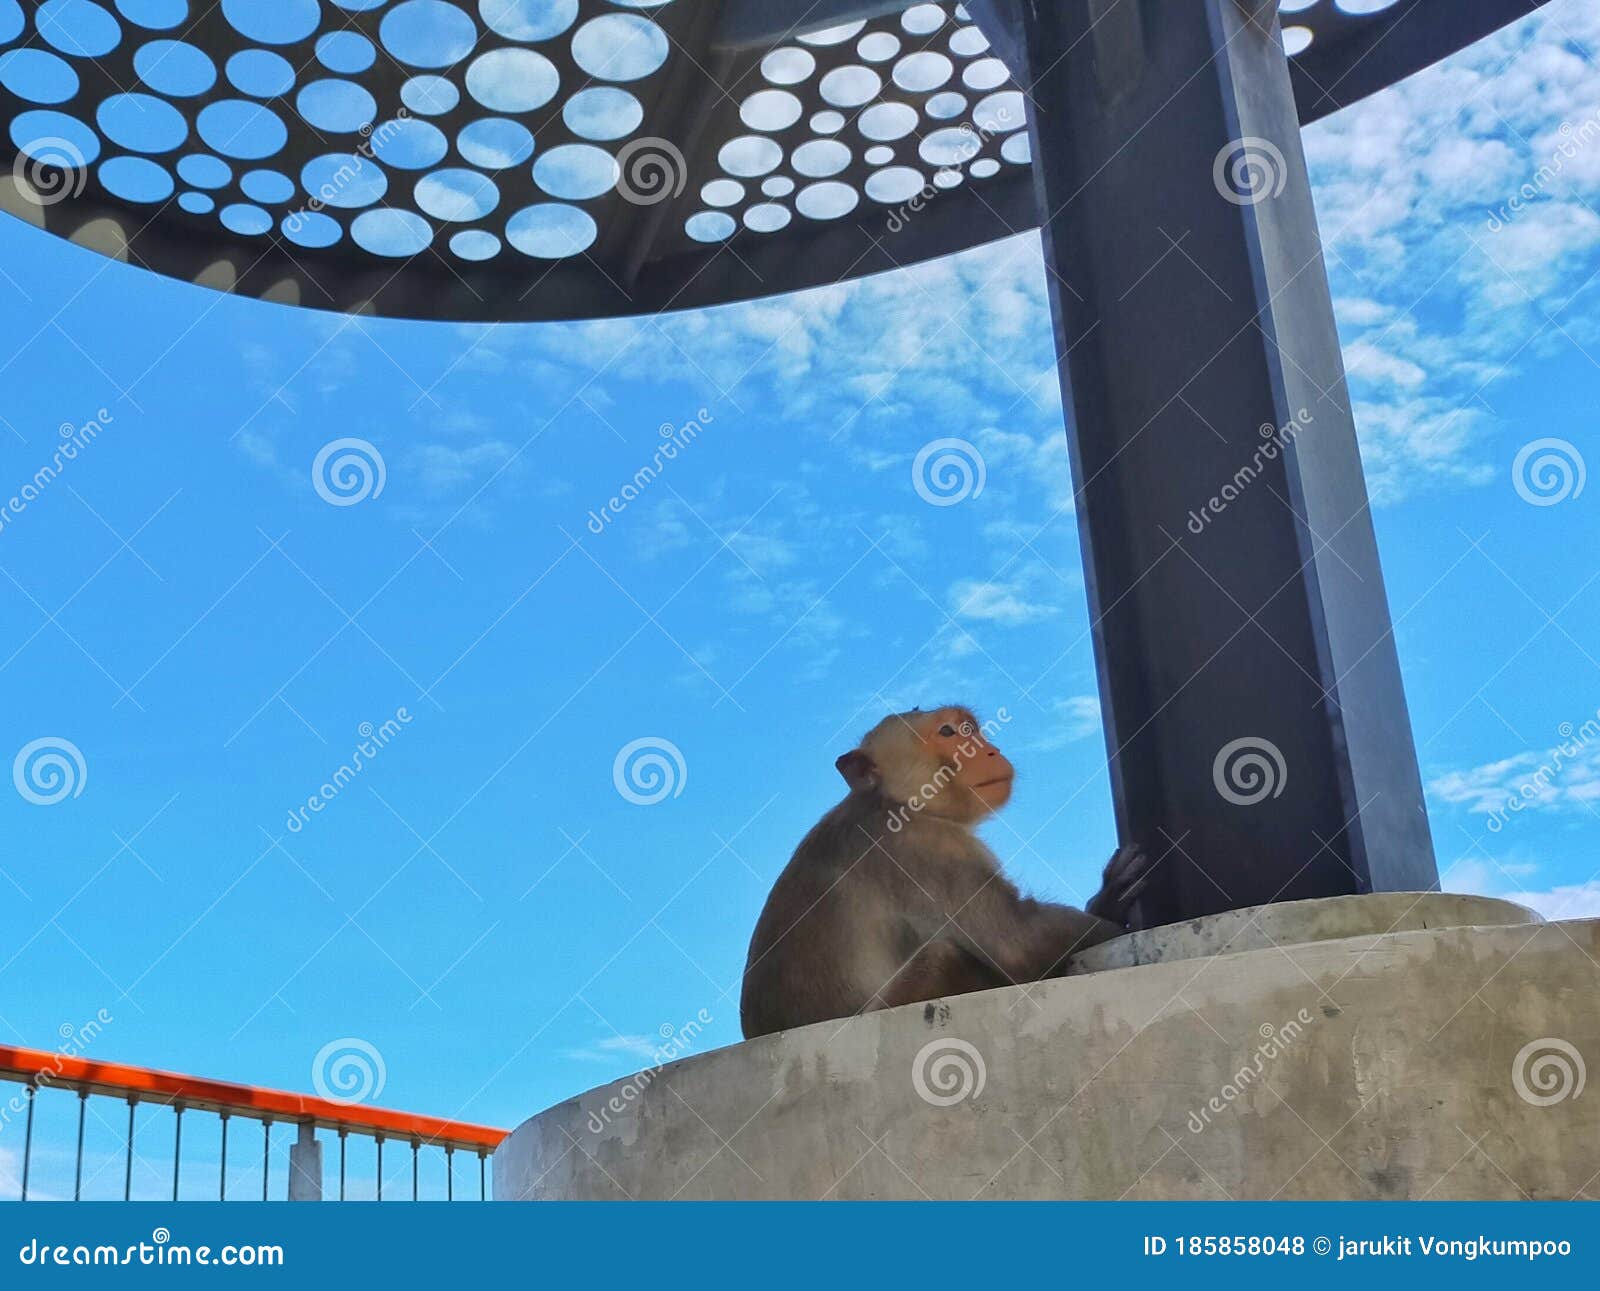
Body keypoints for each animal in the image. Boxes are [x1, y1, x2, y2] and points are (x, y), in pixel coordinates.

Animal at [739, 705, 1154, 1040]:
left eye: (969, 728)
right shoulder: (928, 847)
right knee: (945, 955)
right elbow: (1017, 941)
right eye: (948, 732)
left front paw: (1107, 900)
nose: (992, 750)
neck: (893, 801)